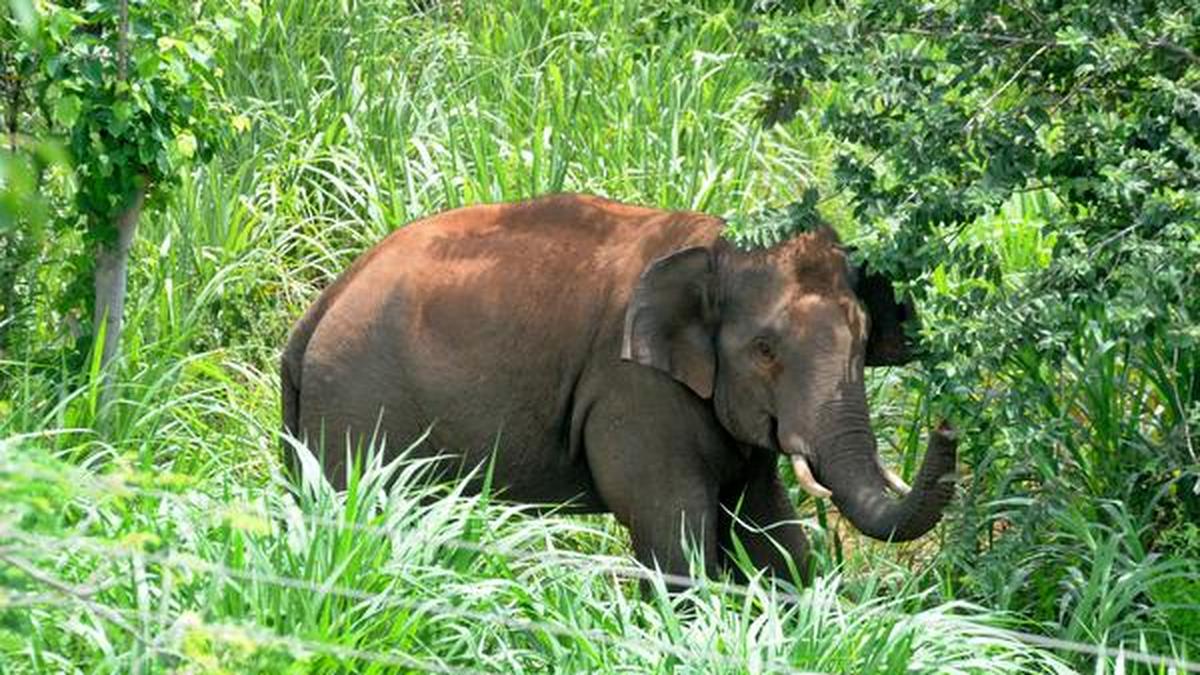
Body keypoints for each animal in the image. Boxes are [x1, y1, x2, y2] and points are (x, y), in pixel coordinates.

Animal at [281, 193, 957, 584]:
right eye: (765, 351)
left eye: (863, 343)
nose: (948, 423)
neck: (714, 247)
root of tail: (318, 310)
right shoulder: (636, 390)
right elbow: (673, 535)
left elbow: (774, 535)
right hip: (358, 405)